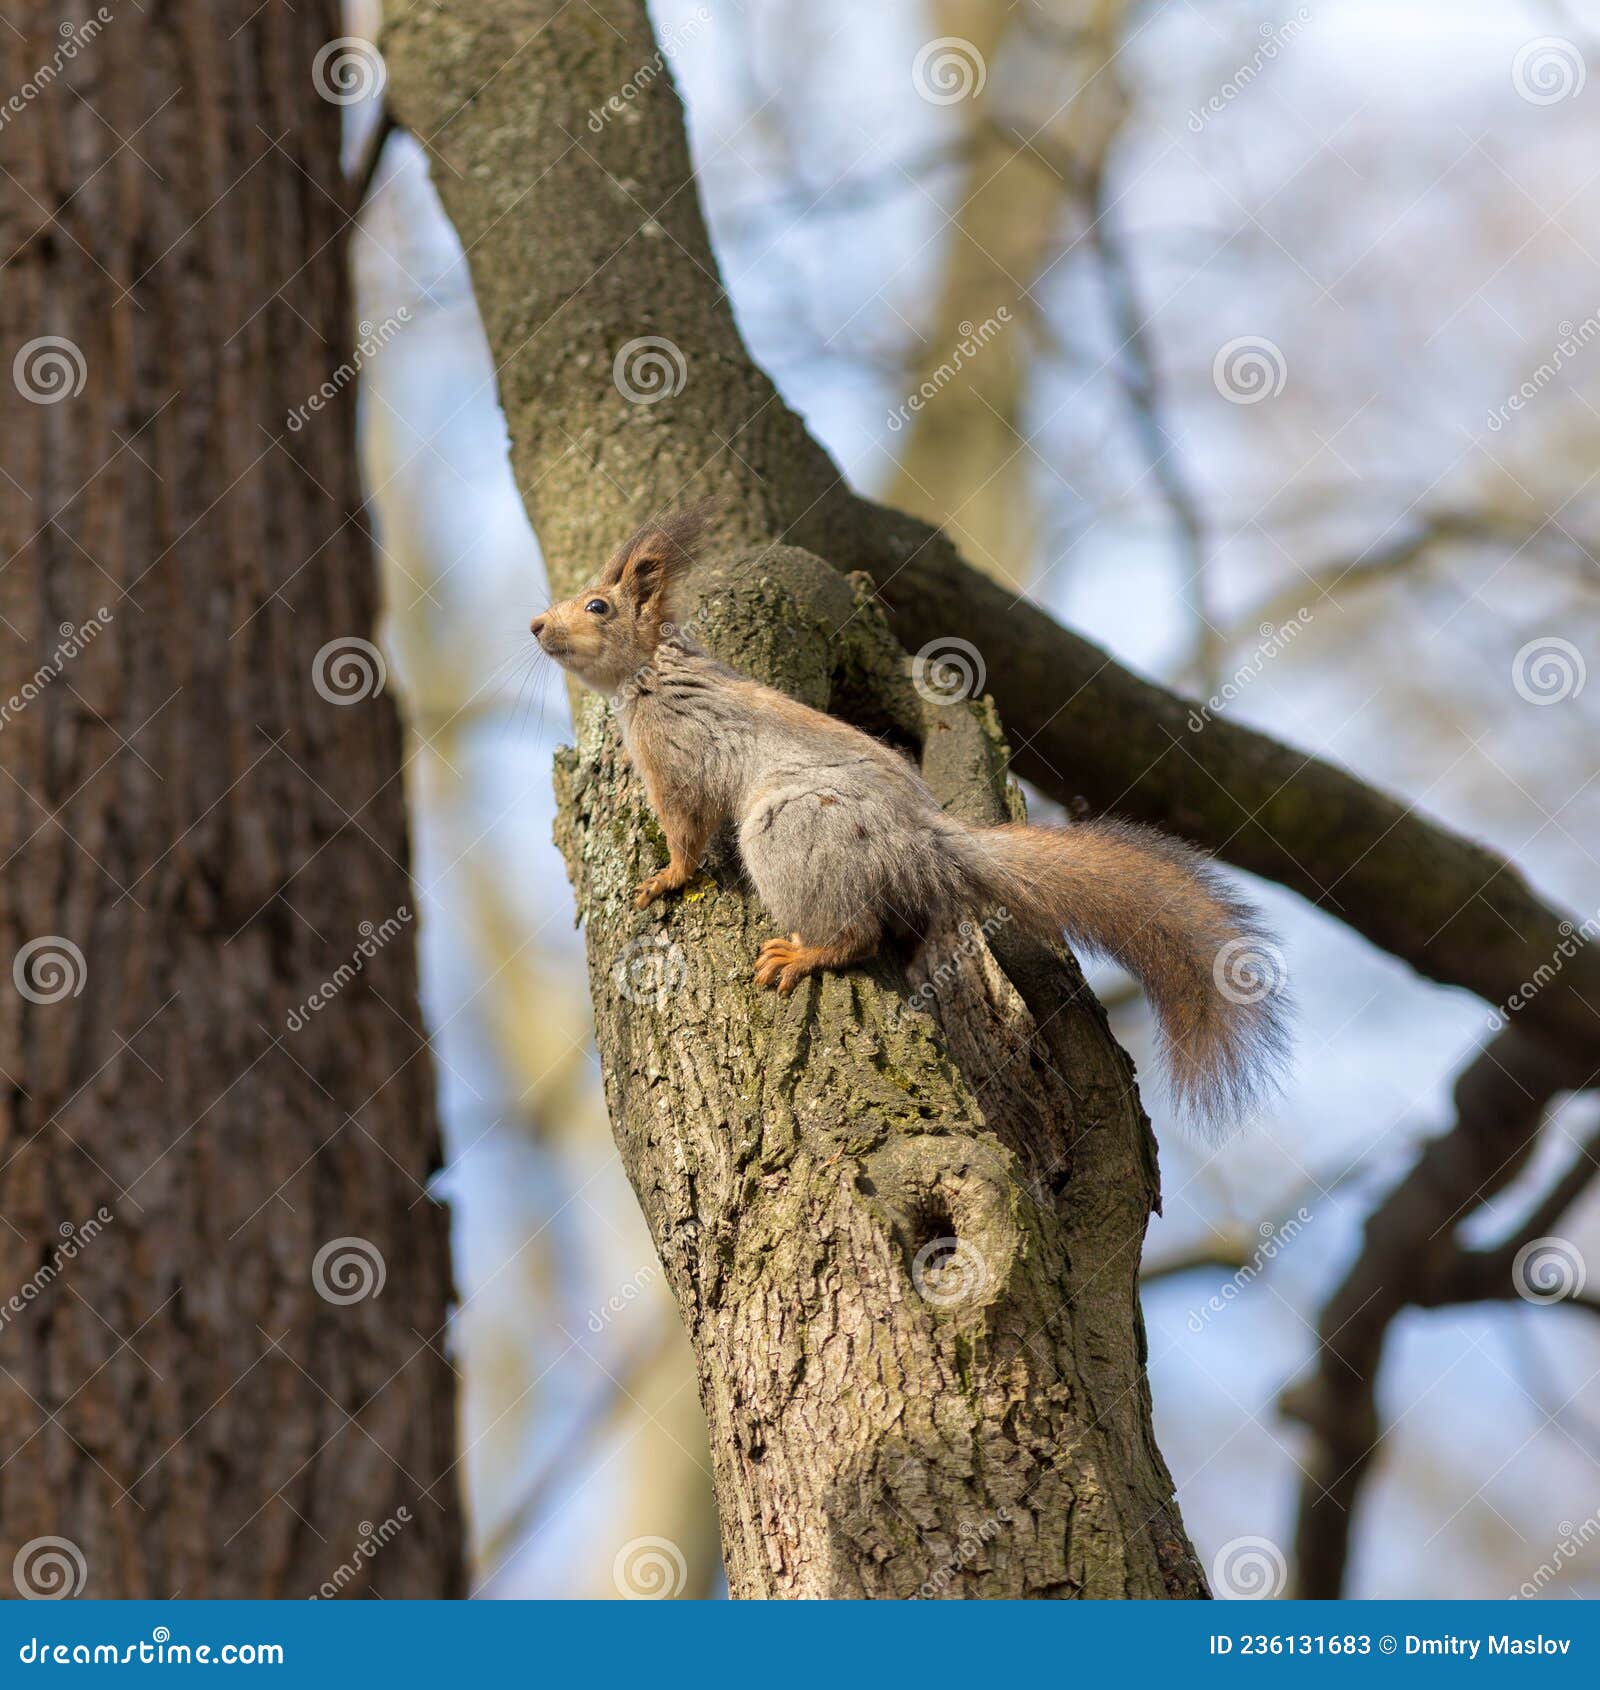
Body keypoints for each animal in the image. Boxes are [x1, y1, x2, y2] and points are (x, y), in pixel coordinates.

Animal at [531, 505, 1290, 1131]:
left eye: (598, 605)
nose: (537, 626)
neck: (653, 671)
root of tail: (926, 840)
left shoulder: (675, 756)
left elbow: (688, 832)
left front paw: (664, 877)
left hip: (790, 826)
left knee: (857, 934)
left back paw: (806, 952)